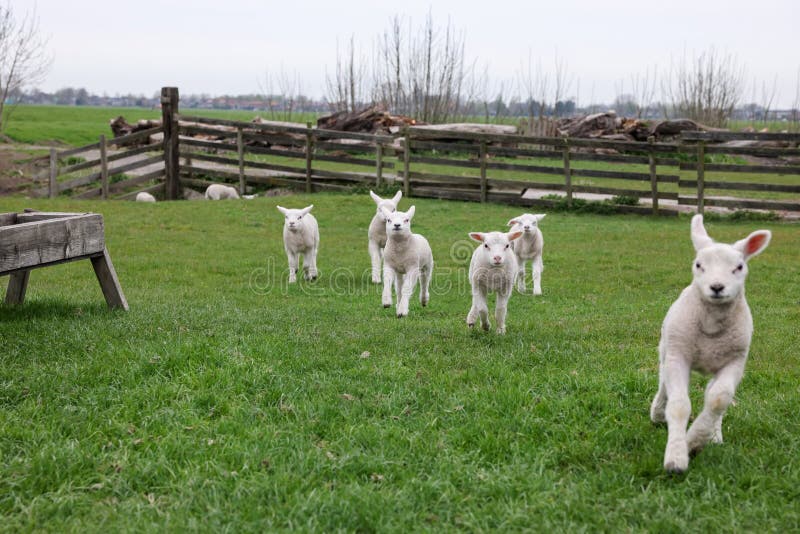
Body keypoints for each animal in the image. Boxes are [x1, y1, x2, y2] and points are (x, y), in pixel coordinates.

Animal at [650, 214, 771, 473]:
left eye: (739, 267)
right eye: (698, 265)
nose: (716, 287)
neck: (711, 327)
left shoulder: (735, 361)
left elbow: (719, 399)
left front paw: (694, 441)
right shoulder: (678, 355)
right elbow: (678, 405)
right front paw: (676, 458)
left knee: (711, 392)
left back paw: (714, 434)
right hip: (667, 349)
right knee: (663, 384)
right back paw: (658, 413)